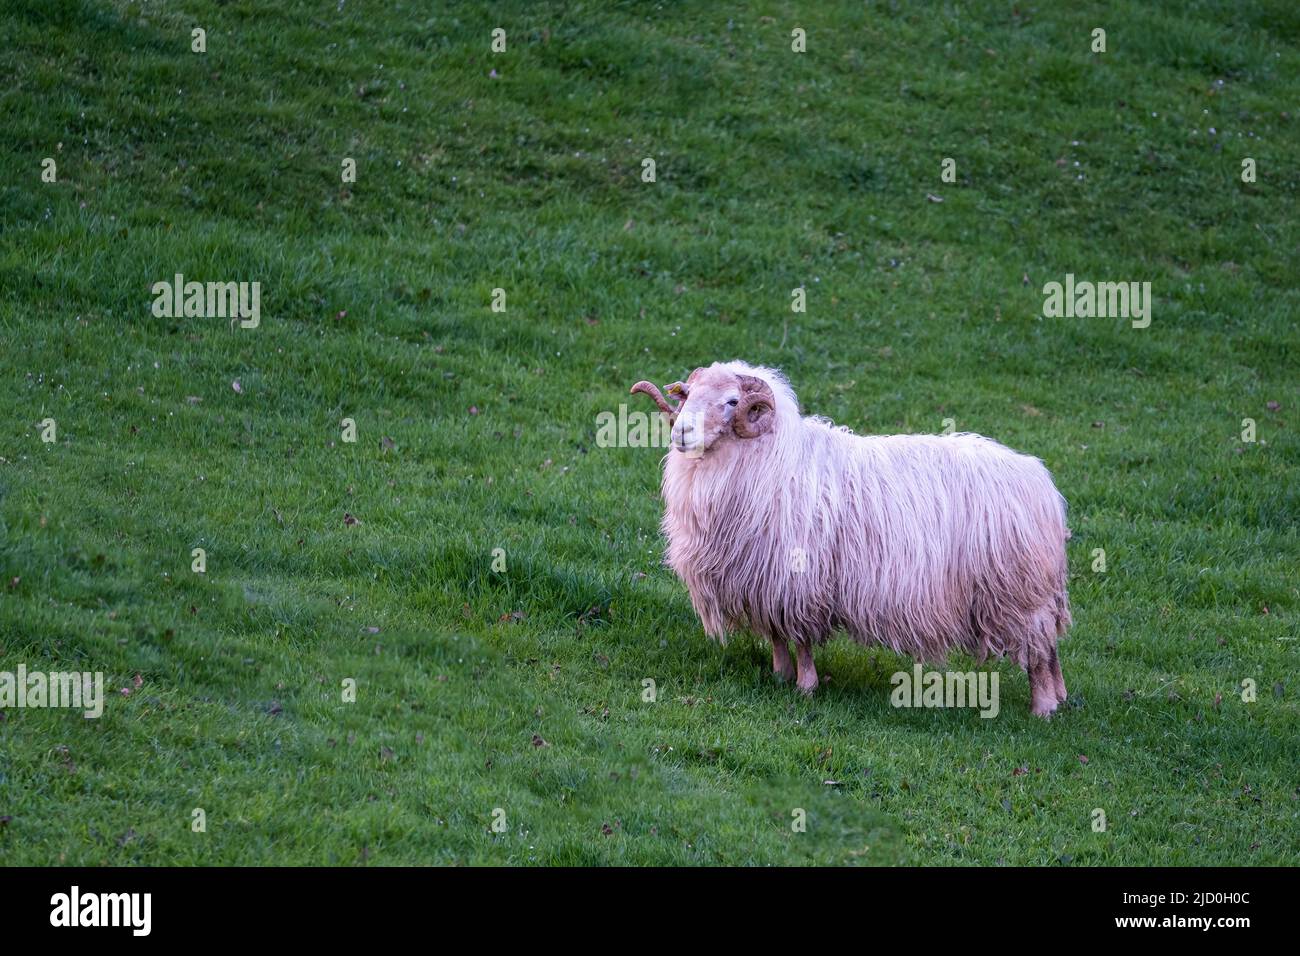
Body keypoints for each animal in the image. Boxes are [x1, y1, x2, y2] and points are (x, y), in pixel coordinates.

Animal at [630, 361, 1072, 717]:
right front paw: (779, 675)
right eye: (688, 395)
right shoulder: (765, 580)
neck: (772, 461)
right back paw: (1061, 696)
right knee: (1049, 644)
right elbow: (776, 634)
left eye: (732, 401)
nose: (681, 433)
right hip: (1036, 592)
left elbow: (801, 638)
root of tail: (1041, 483)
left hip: (1017, 593)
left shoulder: (798, 579)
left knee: (1036, 648)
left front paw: (805, 686)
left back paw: (1042, 707)